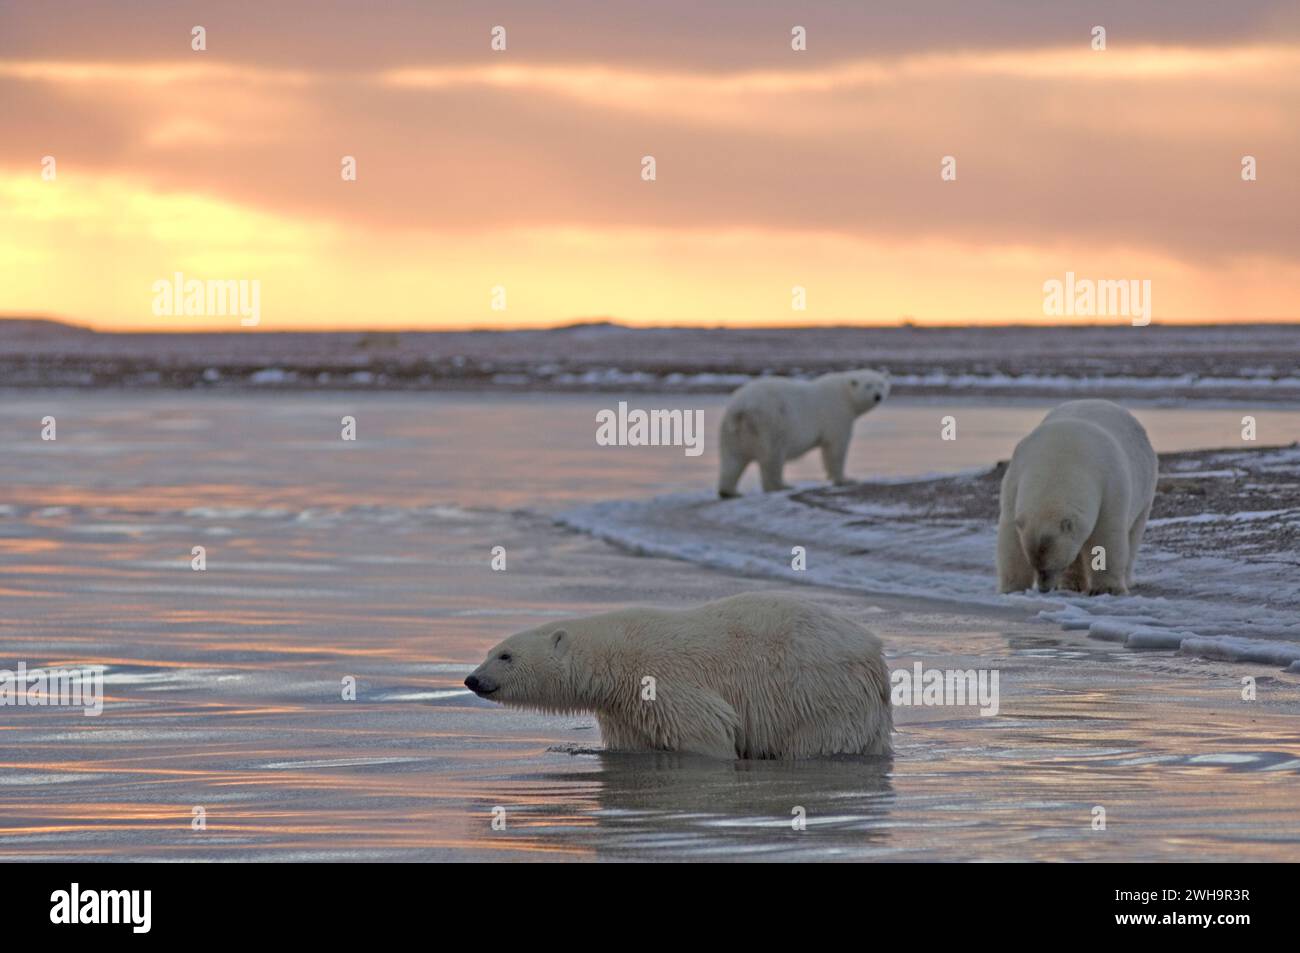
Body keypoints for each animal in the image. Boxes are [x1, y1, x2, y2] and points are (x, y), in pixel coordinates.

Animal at [463, 592, 892, 760]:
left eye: (505, 655)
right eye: (489, 652)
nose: (472, 680)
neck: (613, 656)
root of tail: (875, 654)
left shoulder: (660, 679)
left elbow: (706, 728)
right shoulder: (623, 707)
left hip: (819, 692)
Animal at [717, 369, 890, 497]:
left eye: (881, 384)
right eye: (868, 385)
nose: (877, 396)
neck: (845, 393)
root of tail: (740, 408)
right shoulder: (836, 413)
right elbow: (835, 448)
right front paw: (846, 479)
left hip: (732, 433)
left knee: (732, 460)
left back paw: (730, 491)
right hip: (769, 423)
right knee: (772, 457)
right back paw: (782, 486)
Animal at [997, 399, 1158, 596]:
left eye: (1054, 567)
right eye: (1034, 565)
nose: (1044, 589)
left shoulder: (1110, 483)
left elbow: (1107, 534)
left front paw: (1108, 588)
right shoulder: (1015, 477)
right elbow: (1011, 536)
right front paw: (1011, 588)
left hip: (1146, 488)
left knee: (1134, 533)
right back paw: (1072, 585)